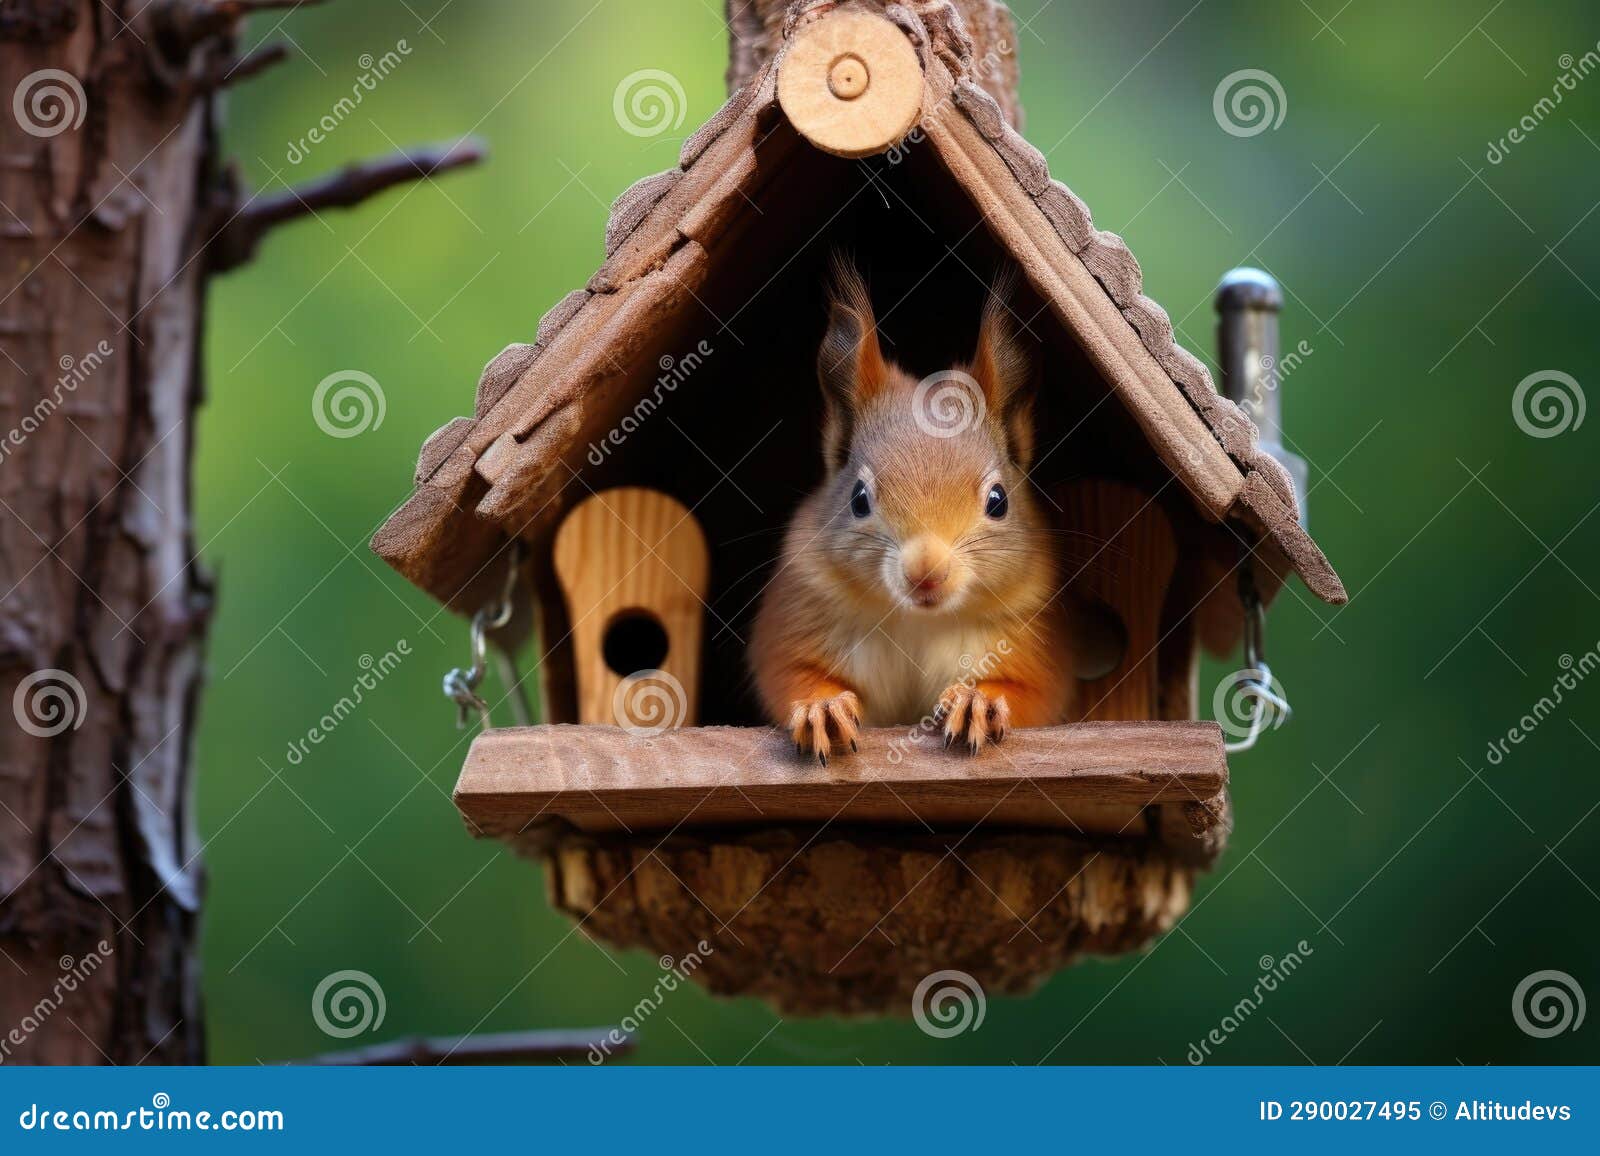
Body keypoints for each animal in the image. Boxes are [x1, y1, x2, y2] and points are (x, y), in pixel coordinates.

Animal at [749, 257, 1076, 765]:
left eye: (998, 501)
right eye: (858, 498)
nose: (926, 573)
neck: (918, 621)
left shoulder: (1034, 643)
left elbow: (1030, 692)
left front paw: (976, 701)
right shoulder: (798, 618)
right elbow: (790, 674)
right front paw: (823, 707)